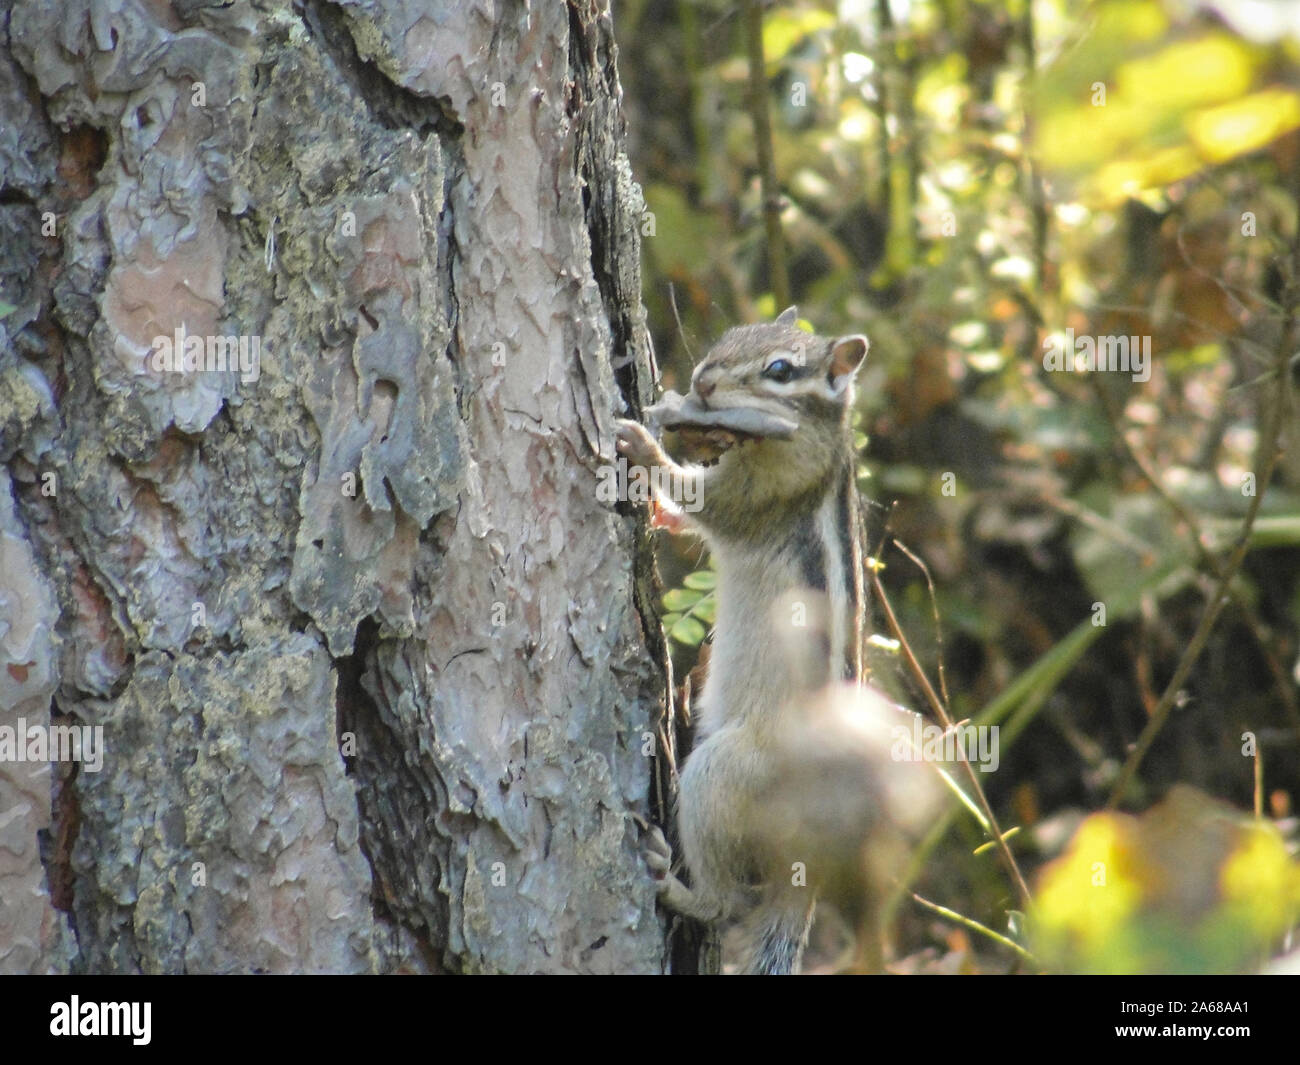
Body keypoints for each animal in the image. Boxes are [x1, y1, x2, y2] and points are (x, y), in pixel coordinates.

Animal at [617, 306, 874, 974]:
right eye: (729, 337)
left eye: (780, 371)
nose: (700, 383)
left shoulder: (758, 493)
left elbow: (700, 500)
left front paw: (643, 445)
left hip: (723, 773)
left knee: (729, 902)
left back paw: (674, 883)